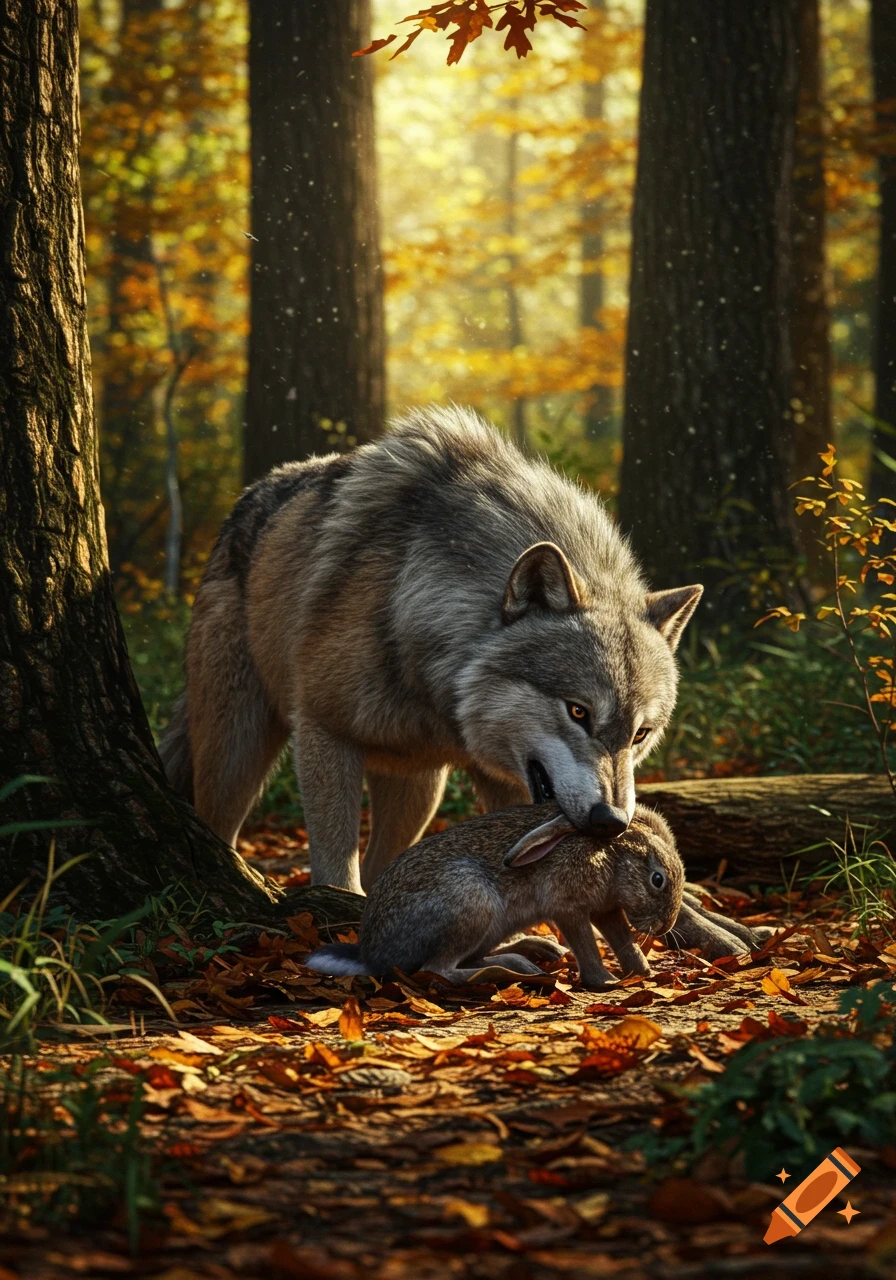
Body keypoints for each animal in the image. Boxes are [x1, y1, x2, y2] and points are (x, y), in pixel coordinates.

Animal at [159, 405, 702, 896]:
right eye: (578, 712)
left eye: (640, 735)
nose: (611, 821)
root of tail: (245, 499)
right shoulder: (324, 731)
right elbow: (335, 866)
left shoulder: (498, 780)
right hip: (237, 754)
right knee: (222, 823)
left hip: (418, 787)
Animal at [305, 802, 685, 989]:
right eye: (658, 880)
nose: (665, 928)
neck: (611, 855)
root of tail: (371, 955)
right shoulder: (568, 906)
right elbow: (586, 943)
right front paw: (605, 982)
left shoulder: (607, 909)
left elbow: (622, 939)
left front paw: (645, 973)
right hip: (471, 903)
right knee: (439, 969)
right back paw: (514, 971)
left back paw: (534, 954)